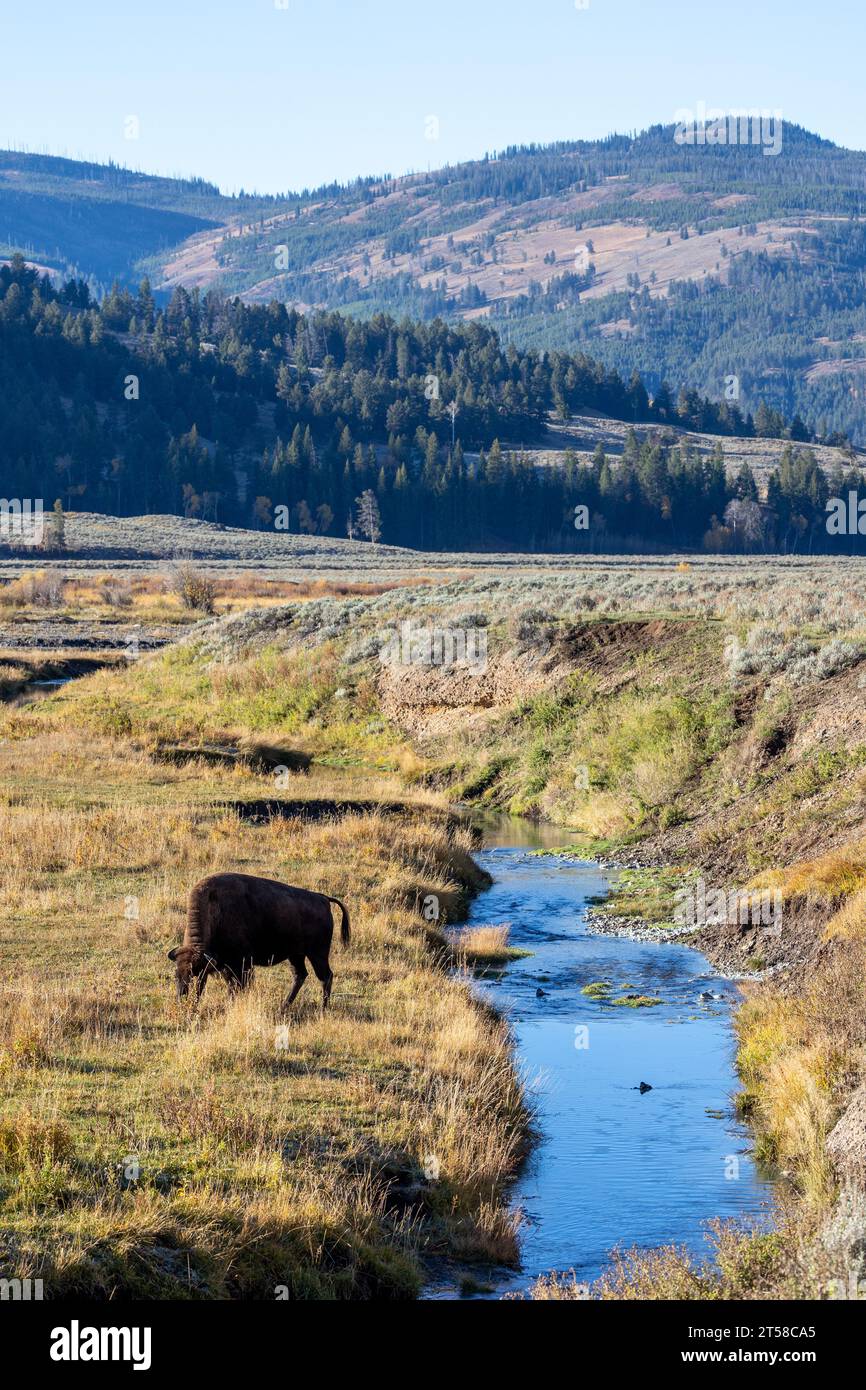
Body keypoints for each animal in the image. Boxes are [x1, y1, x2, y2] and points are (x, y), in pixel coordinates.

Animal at [167, 872, 350, 1011]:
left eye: (197, 975)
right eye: (176, 976)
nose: (183, 1000)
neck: (215, 910)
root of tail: (323, 899)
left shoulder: (243, 963)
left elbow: (239, 986)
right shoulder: (227, 966)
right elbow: (232, 986)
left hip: (317, 954)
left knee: (325, 976)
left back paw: (323, 1009)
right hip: (296, 955)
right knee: (300, 975)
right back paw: (284, 1007)